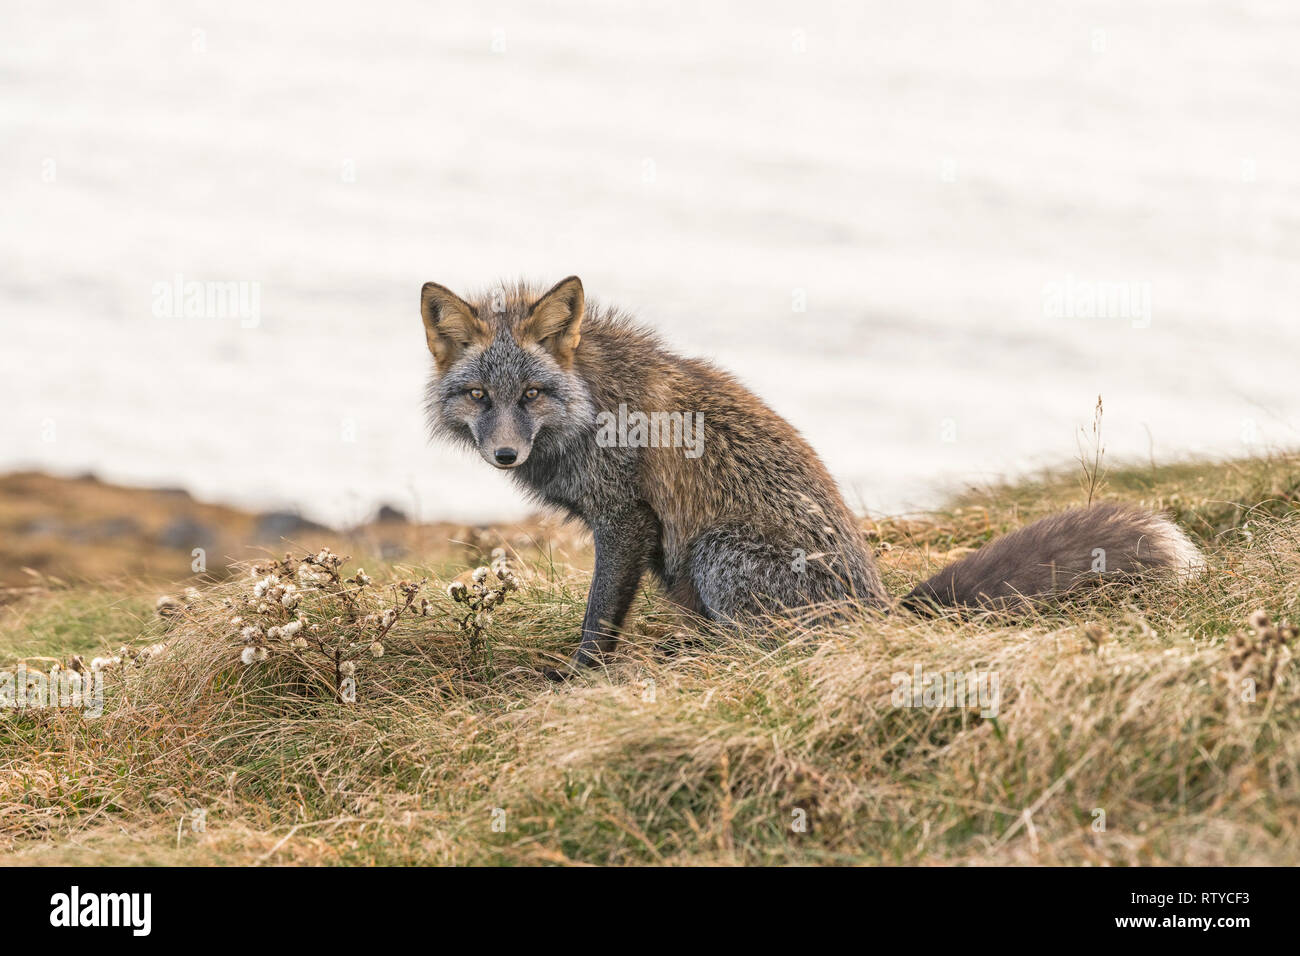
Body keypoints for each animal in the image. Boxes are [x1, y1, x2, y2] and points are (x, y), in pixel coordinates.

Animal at [420, 276, 1205, 671]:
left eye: (532, 395)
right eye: (480, 396)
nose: (505, 455)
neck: (591, 402)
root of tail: (881, 613)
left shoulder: (625, 521)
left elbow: (597, 618)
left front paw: (581, 679)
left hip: (714, 554)